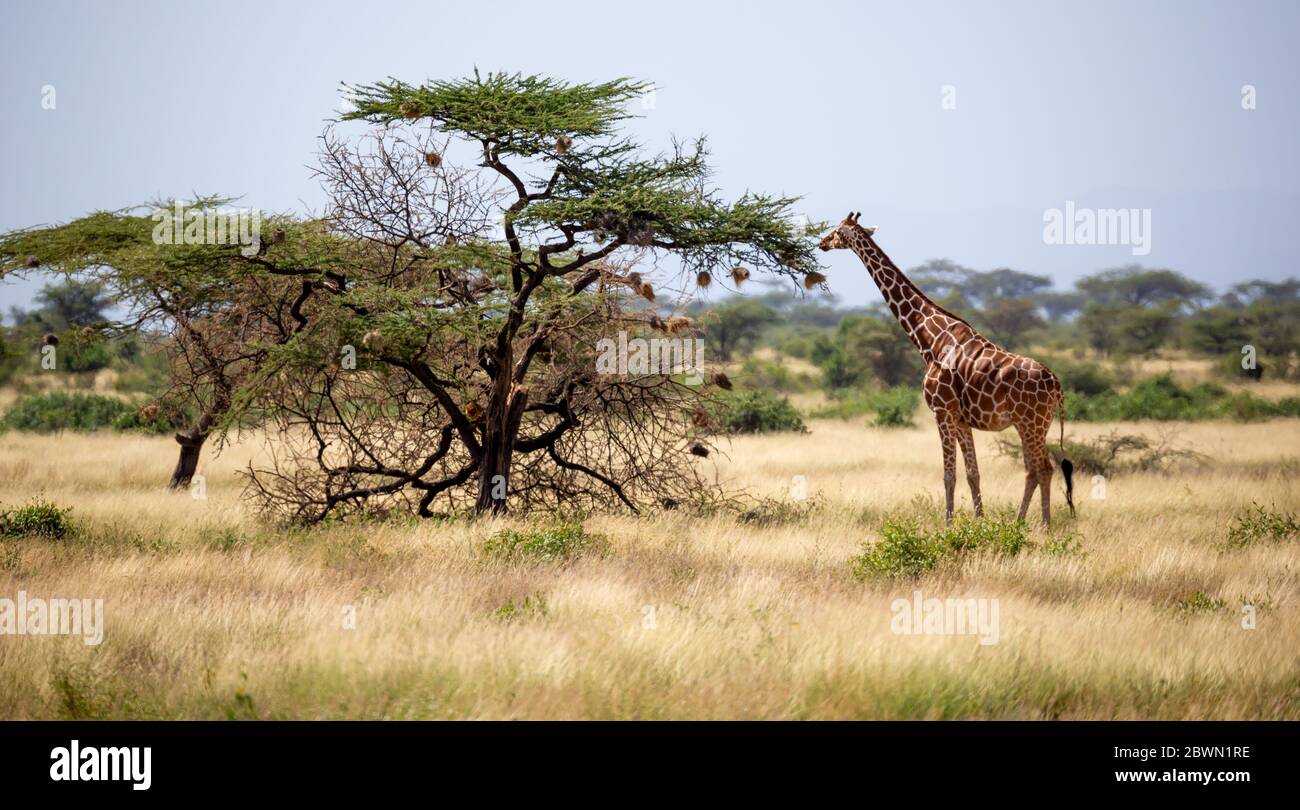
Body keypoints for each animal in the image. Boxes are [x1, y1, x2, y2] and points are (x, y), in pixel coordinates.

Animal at [819, 212, 1074, 525]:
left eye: (836, 231)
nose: (821, 243)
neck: (928, 339)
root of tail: (1056, 384)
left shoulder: (942, 412)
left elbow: (948, 475)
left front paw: (948, 524)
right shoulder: (962, 419)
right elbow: (973, 474)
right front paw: (980, 523)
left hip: (1032, 423)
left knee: (1044, 468)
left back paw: (1043, 526)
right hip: (1032, 424)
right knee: (1032, 469)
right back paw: (1019, 522)